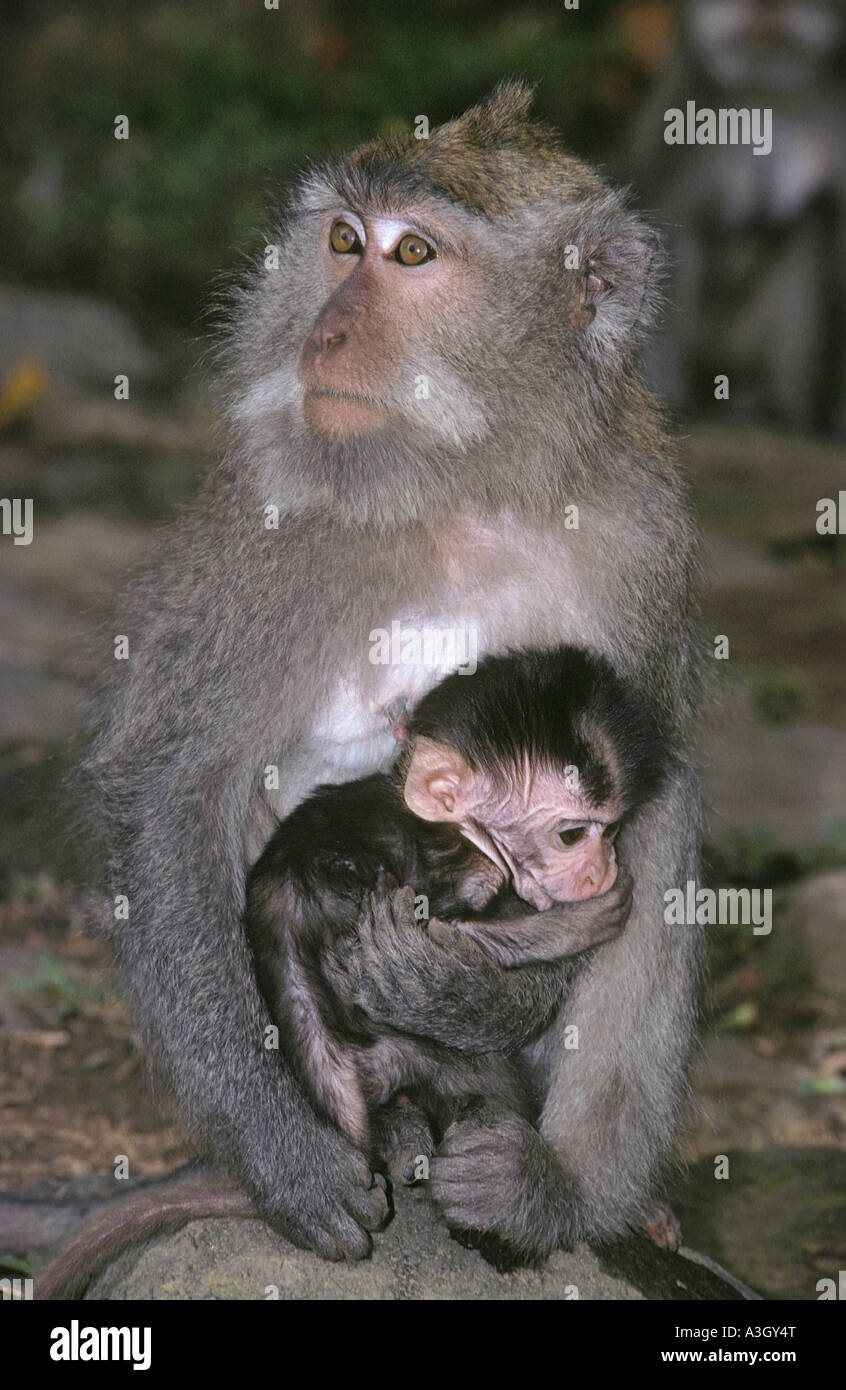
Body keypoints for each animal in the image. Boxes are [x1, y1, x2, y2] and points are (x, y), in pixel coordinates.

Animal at [245, 644, 664, 1175]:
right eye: (571, 836)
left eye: (610, 832)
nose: (602, 870)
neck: (461, 833)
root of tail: (281, 893)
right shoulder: (453, 863)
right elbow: (444, 927)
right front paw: (579, 924)